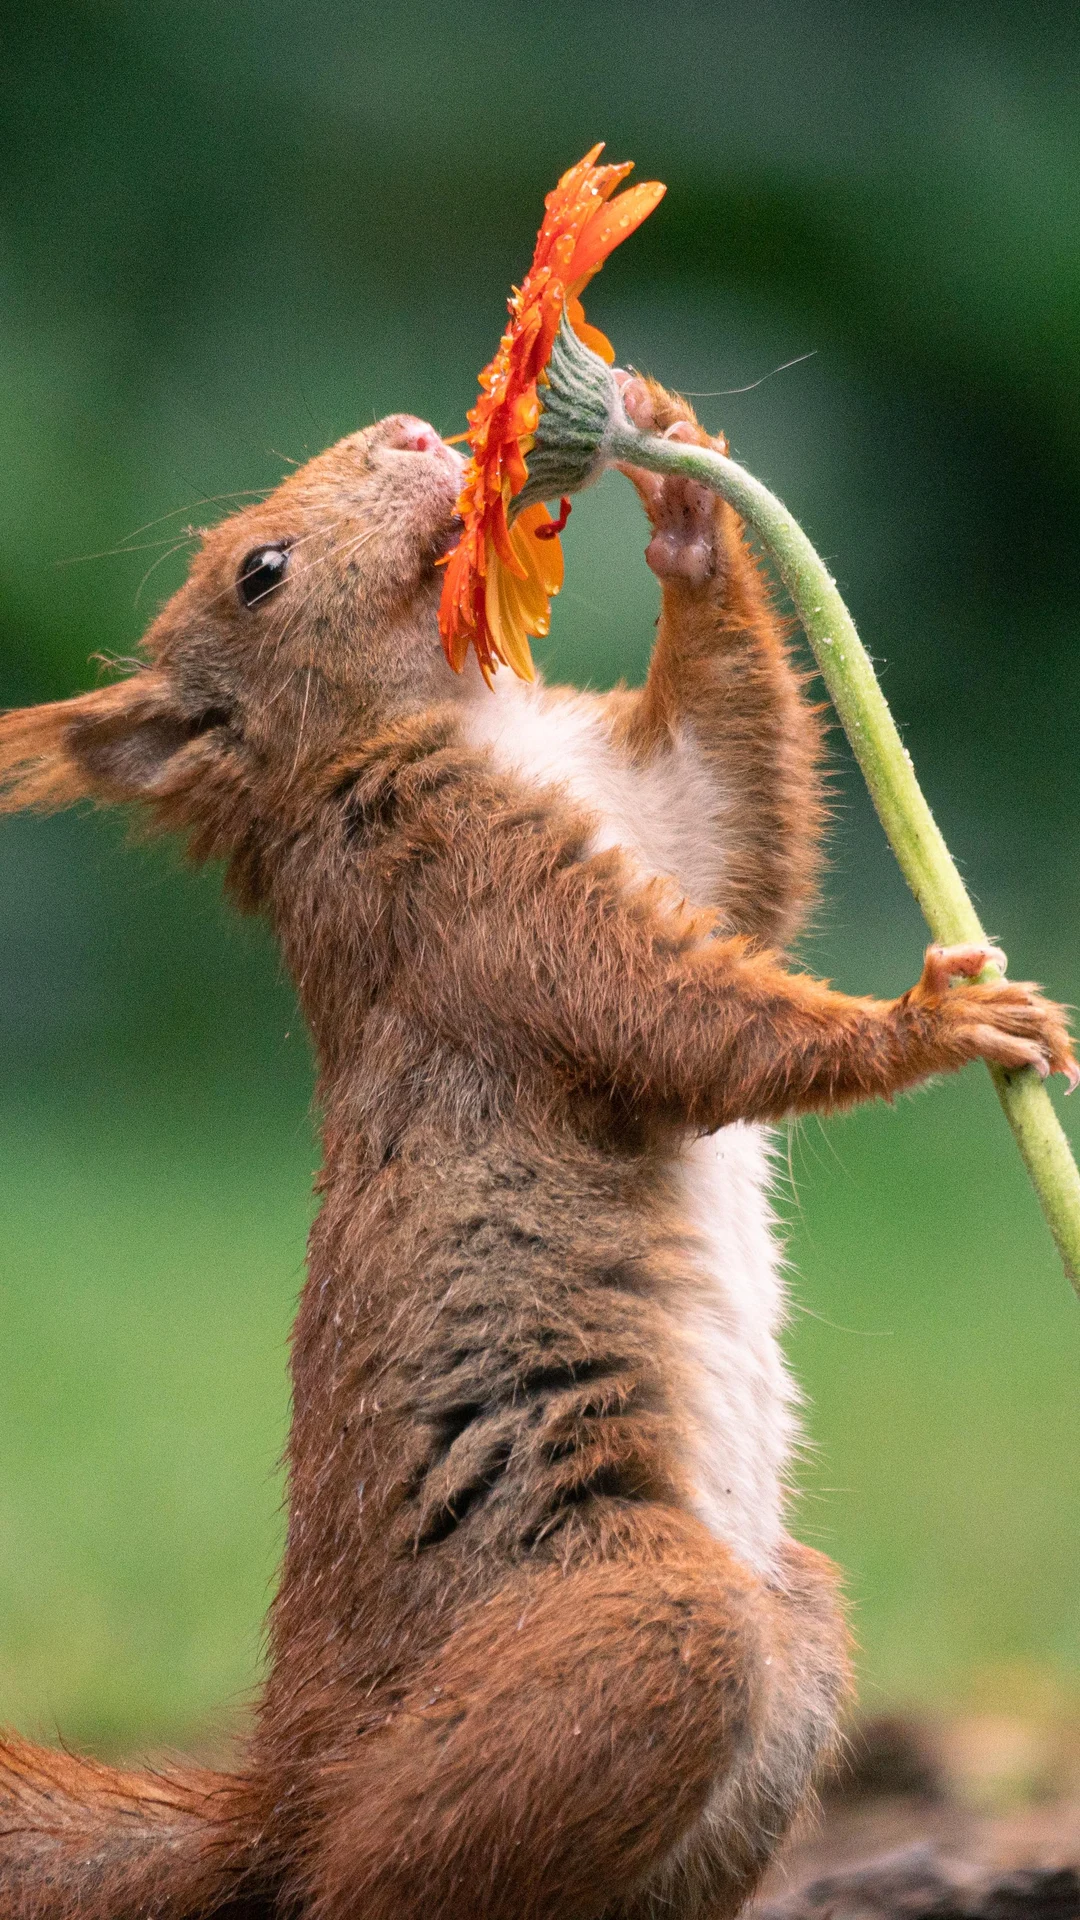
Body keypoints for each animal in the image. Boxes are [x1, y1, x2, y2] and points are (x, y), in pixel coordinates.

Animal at [0, 375, 1073, 1920]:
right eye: (260, 571)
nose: (407, 431)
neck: (467, 714)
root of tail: (293, 1801)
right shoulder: (460, 903)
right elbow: (679, 1020)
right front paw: (937, 1019)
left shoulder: (663, 821)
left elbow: (742, 827)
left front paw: (685, 497)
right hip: (630, 1626)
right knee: (374, 1888)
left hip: (798, 1645)